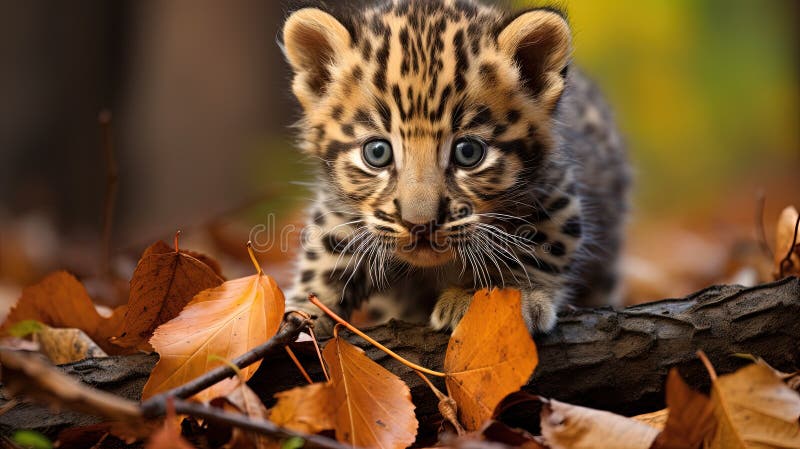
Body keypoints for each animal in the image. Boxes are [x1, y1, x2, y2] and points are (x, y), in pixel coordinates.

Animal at [279, 0, 630, 335]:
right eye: (377, 153)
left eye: (468, 152)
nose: (420, 224)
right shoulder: (341, 207)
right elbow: (328, 245)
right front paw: (301, 312)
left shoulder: (554, 189)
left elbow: (540, 242)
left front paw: (501, 294)